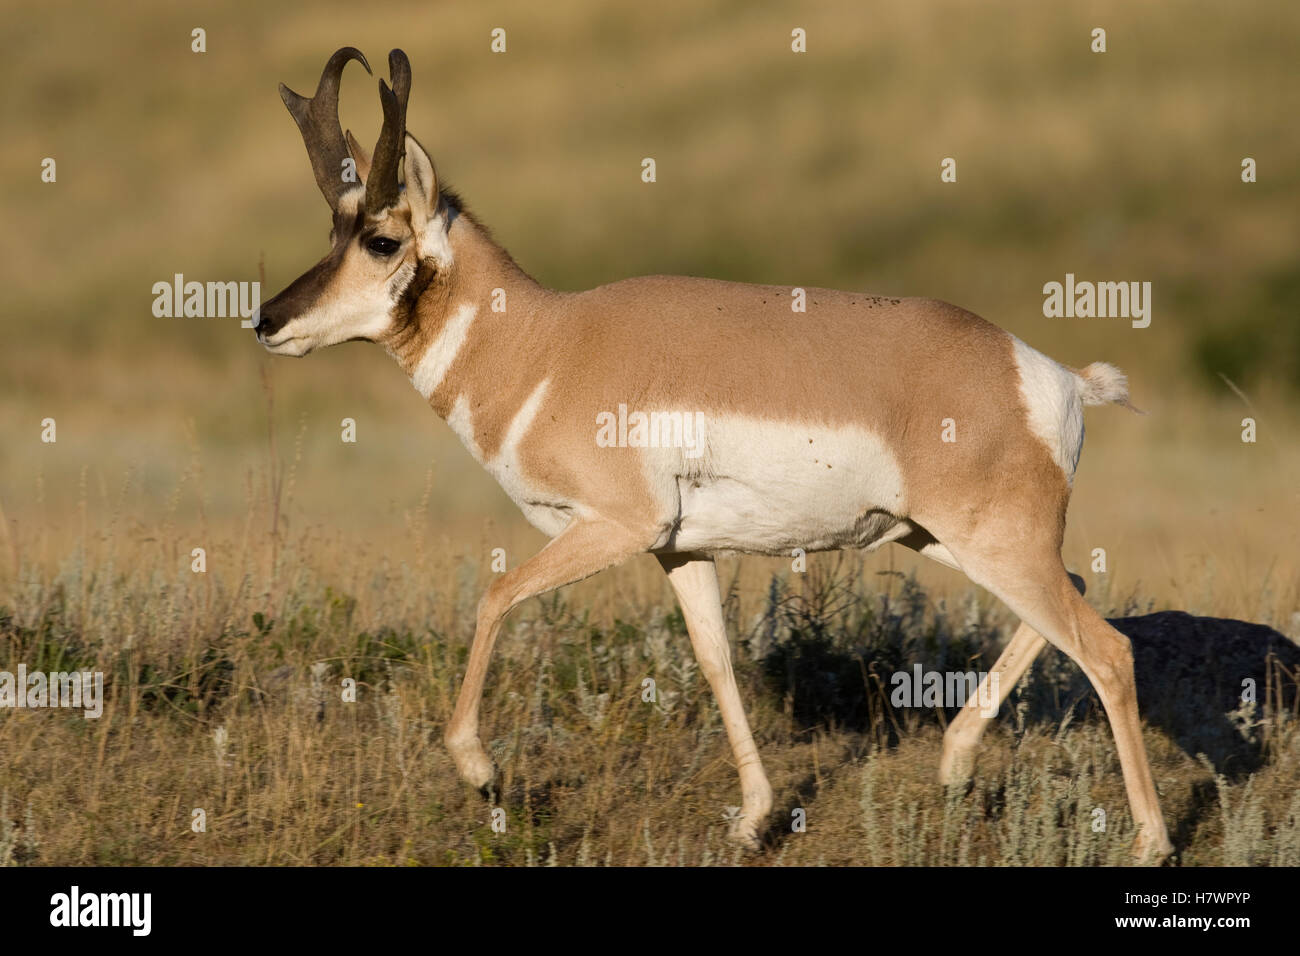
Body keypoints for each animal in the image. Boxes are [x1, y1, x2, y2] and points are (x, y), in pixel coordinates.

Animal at [254, 47, 1174, 863]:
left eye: (379, 238)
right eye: (332, 228)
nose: (265, 318)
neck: (549, 344)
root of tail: (1049, 375)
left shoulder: (615, 527)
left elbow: (495, 595)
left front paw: (483, 774)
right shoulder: (679, 550)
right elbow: (715, 661)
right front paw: (752, 820)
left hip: (991, 544)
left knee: (1107, 650)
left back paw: (1148, 841)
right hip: (941, 538)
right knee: (1070, 602)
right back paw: (953, 765)